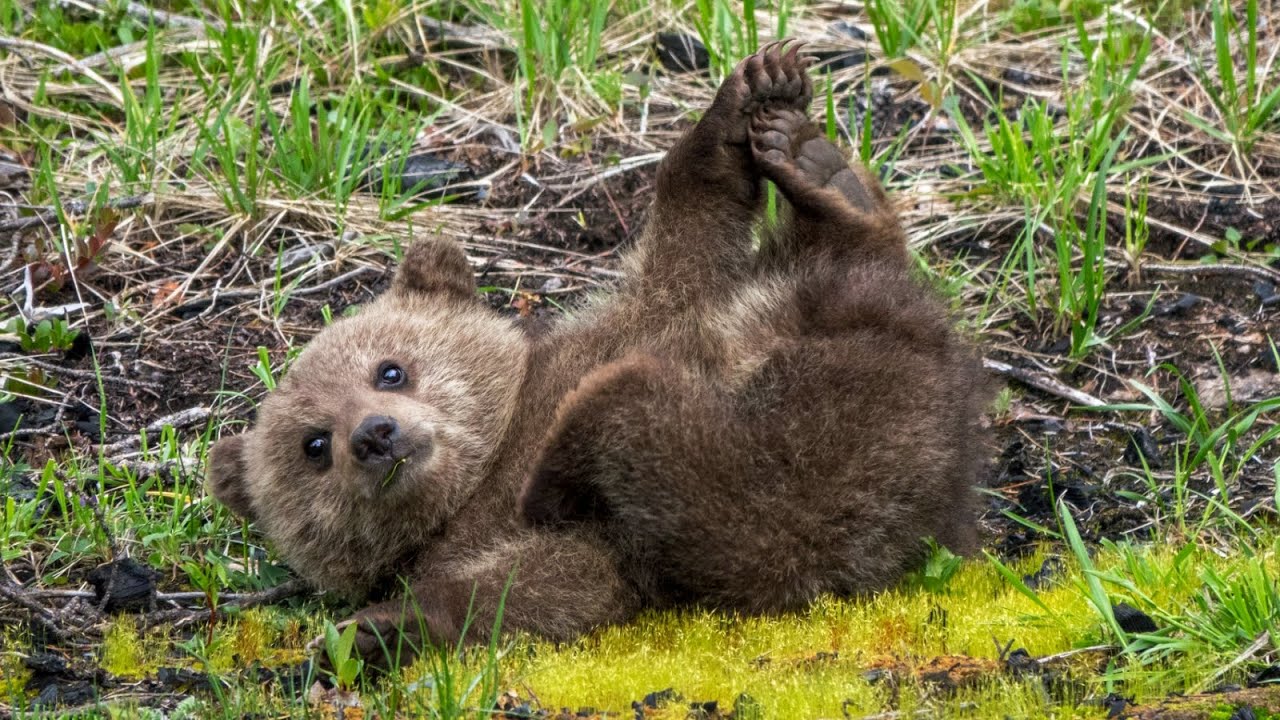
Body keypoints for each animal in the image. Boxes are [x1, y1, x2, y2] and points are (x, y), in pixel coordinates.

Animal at [206, 41, 991, 669]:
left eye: (390, 368)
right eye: (313, 444)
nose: (374, 434)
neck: (492, 460)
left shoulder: (638, 317)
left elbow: (687, 241)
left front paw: (746, 95)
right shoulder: (516, 541)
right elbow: (550, 582)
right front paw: (373, 629)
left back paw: (814, 166)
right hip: (789, 482)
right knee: (653, 427)